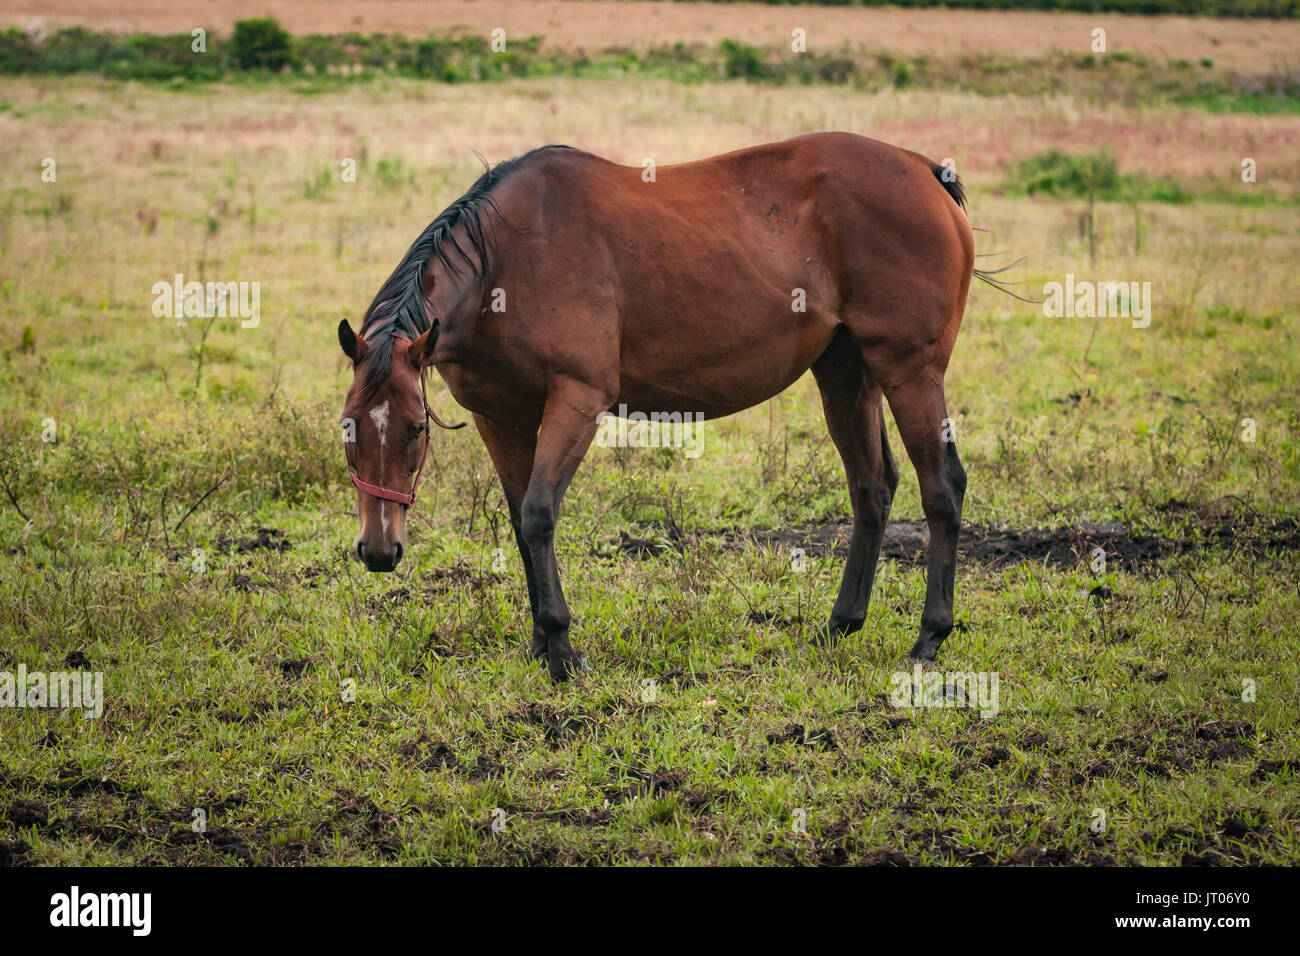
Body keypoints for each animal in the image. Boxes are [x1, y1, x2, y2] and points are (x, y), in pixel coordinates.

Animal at [338, 132, 991, 681]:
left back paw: (929, 638)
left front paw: (561, 648)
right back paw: (841, 625)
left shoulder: (577, 400)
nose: (379, 551)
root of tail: (925, 171)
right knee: (872, 487)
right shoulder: (500, 418)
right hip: (845, 372)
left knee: (941, 486)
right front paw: (540, 644)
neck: (505, 261)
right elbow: (522, 523)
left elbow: (541, 513)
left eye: (416, 430)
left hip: (910, 372)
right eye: (348, 430)